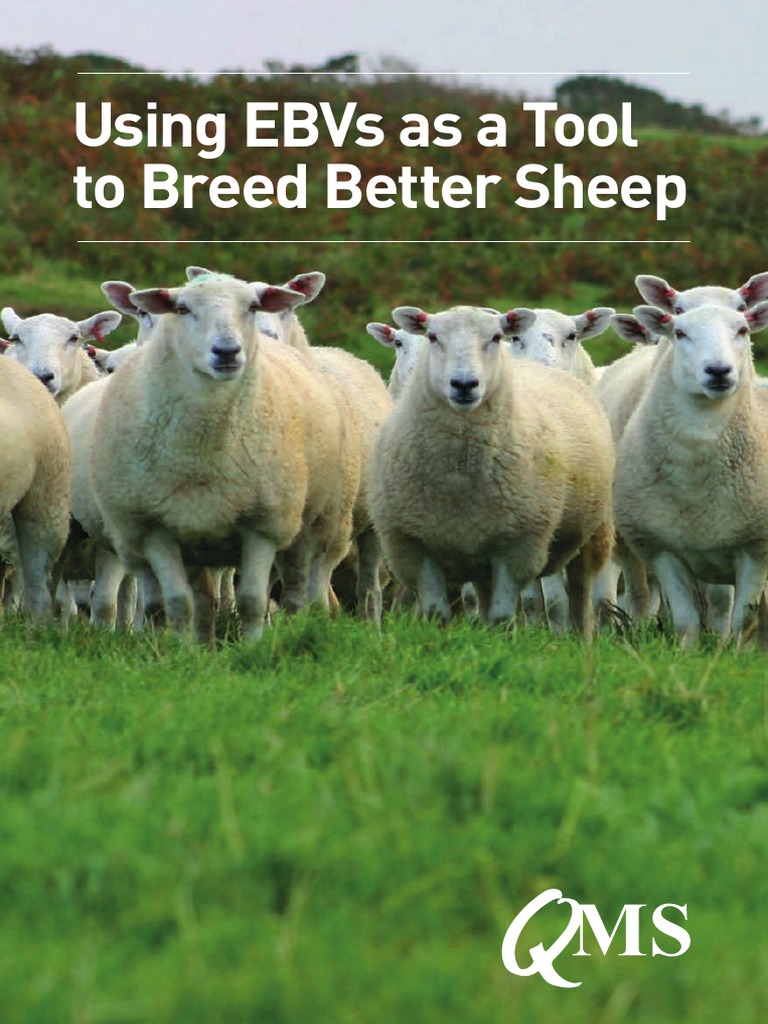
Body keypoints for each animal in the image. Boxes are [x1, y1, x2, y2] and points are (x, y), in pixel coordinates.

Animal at [90, 273, 357, 642]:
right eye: (181, 308)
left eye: (254, 306)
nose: (227, 351)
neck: (202, 448)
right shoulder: (153, 528)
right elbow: (179, 602)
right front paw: (183, 650)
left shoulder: (264, 524)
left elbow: (252, 600)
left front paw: (254, 646)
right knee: (198, 598)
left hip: (313, 521)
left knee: (297, 589)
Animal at [369, 305, 614, 636]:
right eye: (431, 336)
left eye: (497, 337)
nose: (464, 384)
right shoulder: (414, 545)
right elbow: (439, 612)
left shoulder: (522, 541)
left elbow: (516, 612)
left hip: (589, 531)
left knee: (580, 594)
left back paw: (580, 637)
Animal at [613, 301, 768, 647]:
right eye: (680, 332)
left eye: (742, 330)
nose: (718, 370)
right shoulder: (663, 549)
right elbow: (686, 621)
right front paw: (686, 652)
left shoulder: (755, 549)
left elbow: (745, 620)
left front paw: (737, 655)